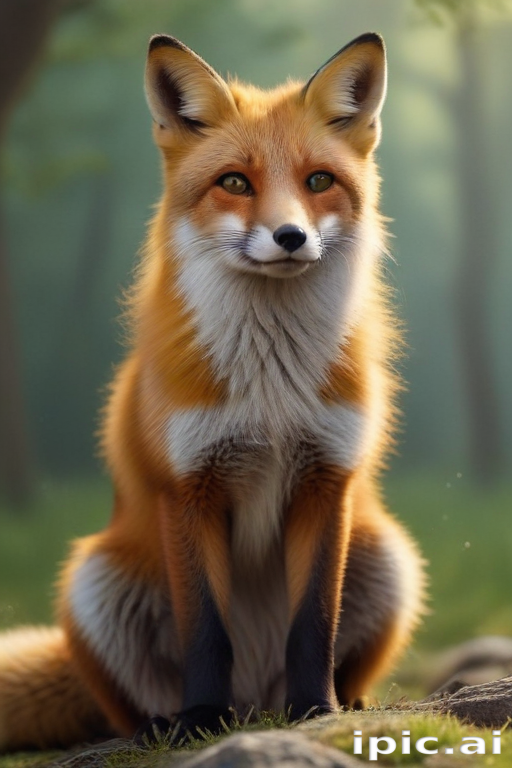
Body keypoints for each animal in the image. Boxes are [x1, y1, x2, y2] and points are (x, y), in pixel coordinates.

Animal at [0, 32, 425, 751]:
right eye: (234, 182)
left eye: (318, 181)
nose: (291, 236)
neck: (271, 390)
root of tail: (255, 703)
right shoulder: (187, 488)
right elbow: (206, 632)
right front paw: (201, 718)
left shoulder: (327, 481)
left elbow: (313, 624)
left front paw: (317, 711)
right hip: (94, 579)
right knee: (125, 707)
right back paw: (163, 723)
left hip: (386, 554)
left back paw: (344, 701)